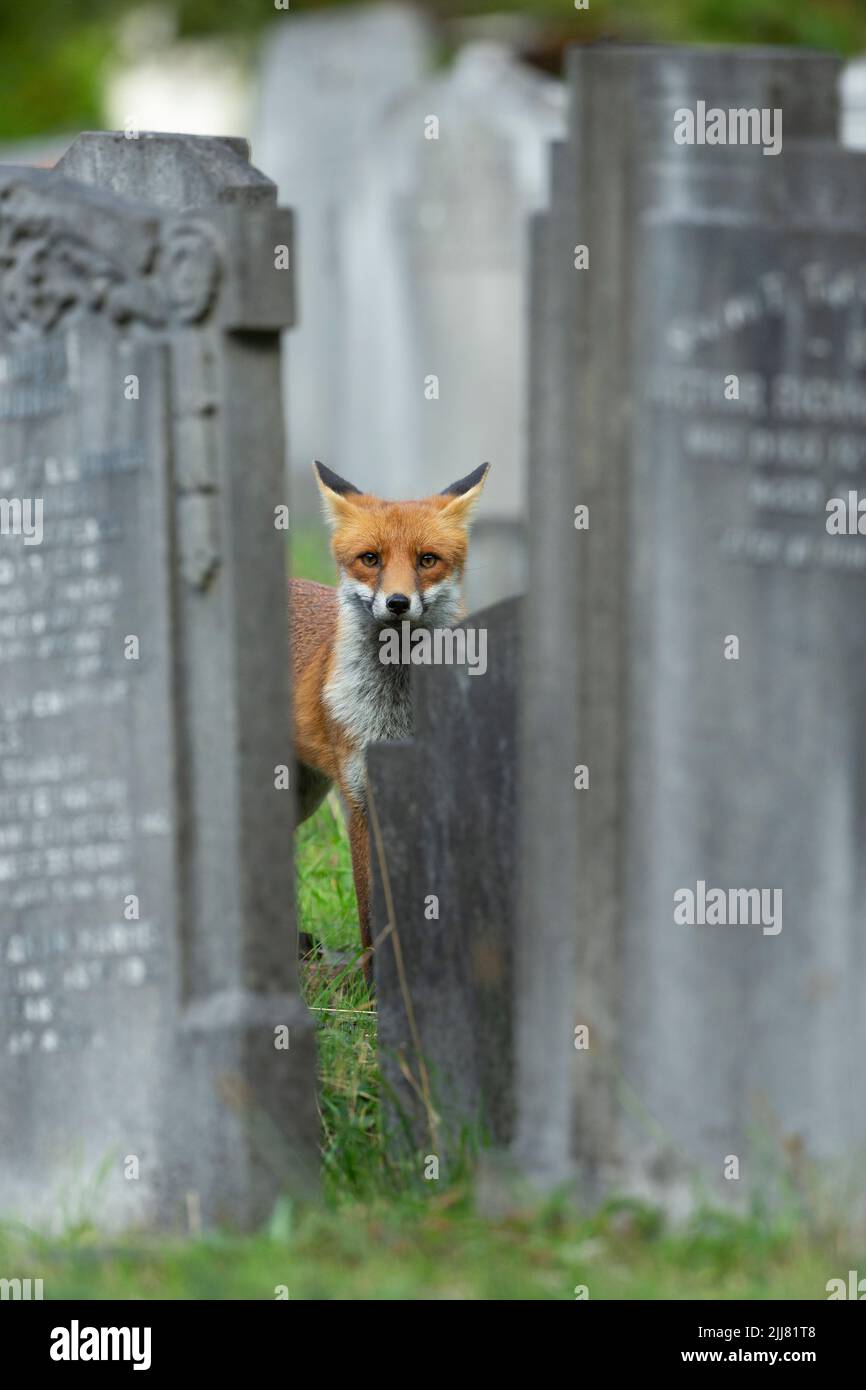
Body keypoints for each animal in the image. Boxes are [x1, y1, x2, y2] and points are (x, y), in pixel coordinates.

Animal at [290, 459, 490, 979]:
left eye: (427, 560)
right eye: (370, 558)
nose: (397, 602)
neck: (398, 712)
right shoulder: (361, 799)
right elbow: (371, 909)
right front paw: (376, 983)